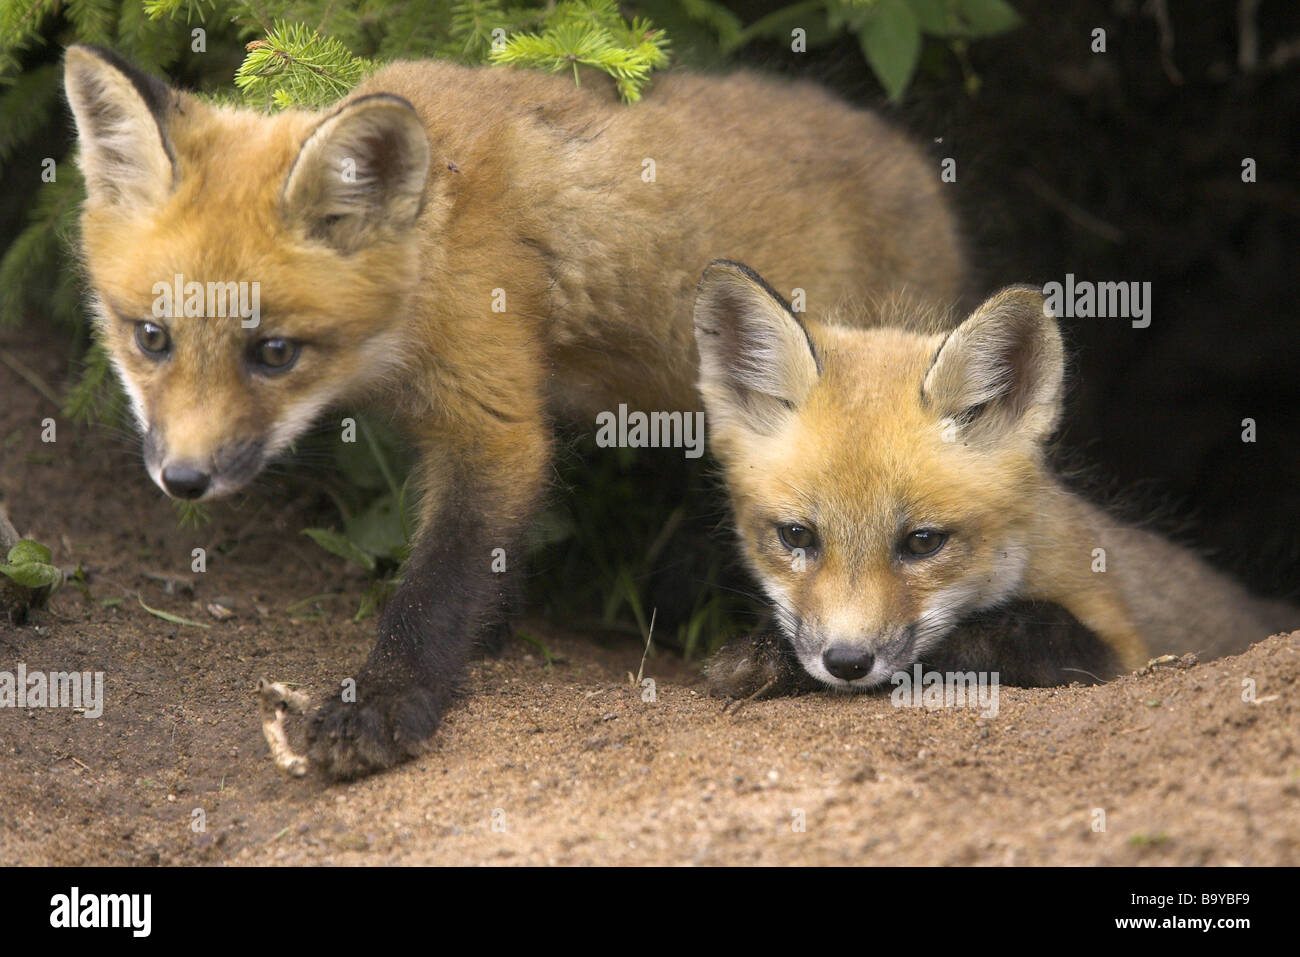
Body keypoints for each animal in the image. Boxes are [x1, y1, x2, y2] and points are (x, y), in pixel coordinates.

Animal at [62, 45, 985, 777]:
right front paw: (487, 638)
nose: (182, 478)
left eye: (275, 353)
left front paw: (386, 698)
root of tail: (917, 164)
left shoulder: (495, 420)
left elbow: (440, 580)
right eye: (151, 337)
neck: (434, 241)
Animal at [693, 261, 1297, 693]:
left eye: (923, 542)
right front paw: (756, 657)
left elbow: (1023, 627)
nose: (847, 661)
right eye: (795, 535)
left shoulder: (1125, 647)